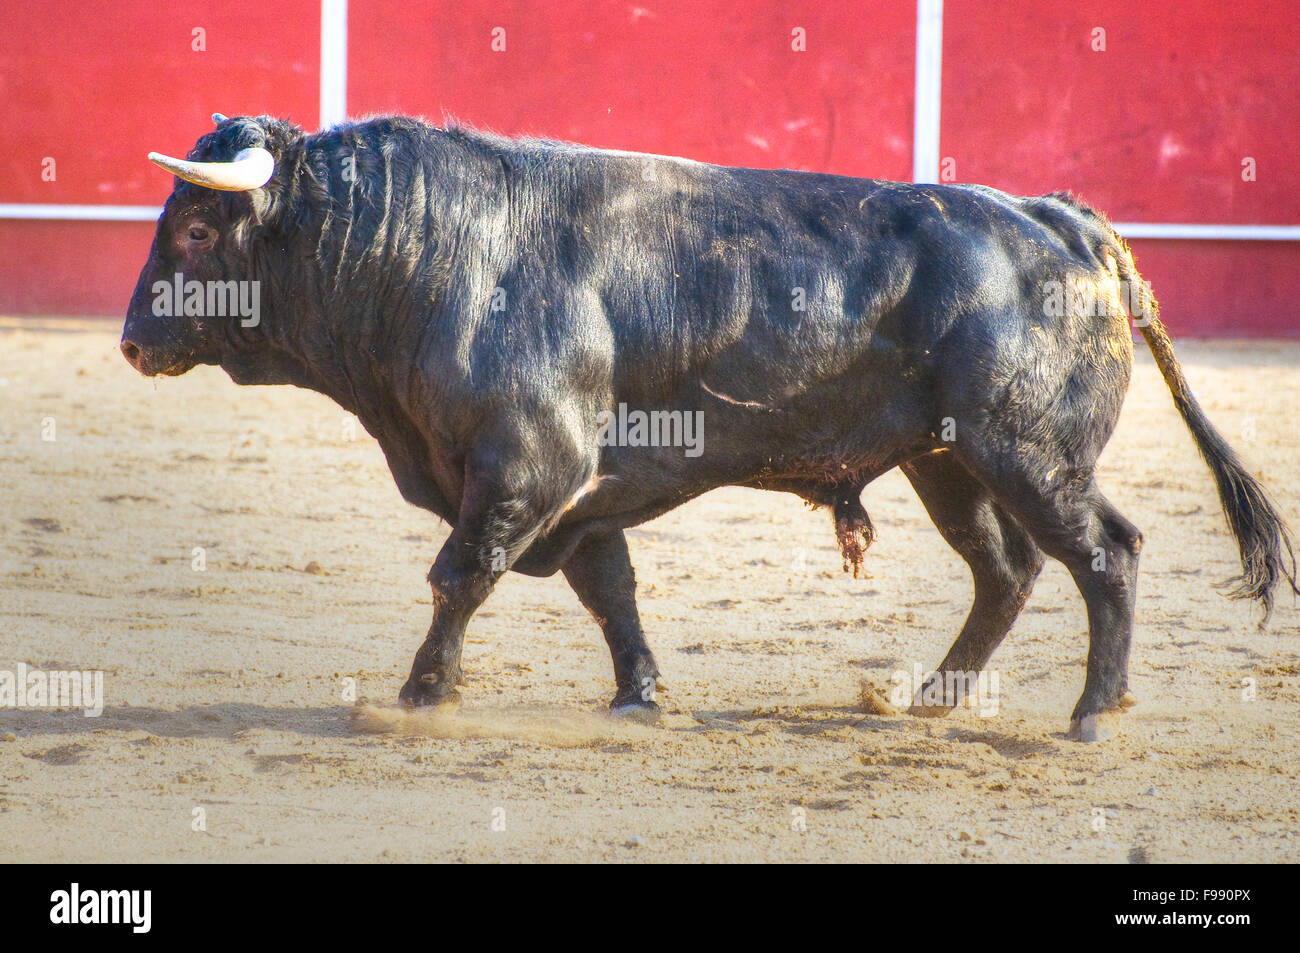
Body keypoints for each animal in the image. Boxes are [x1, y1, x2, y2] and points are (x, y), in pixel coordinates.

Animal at [121, 113, 1296, 741]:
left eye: (196, 229)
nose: (131, 341)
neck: (427, 251)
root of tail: (1060, 220)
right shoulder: (579, 490)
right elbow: (611, 589)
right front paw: (637, 696)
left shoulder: (526, 463)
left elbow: (460, 573)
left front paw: (417, 698)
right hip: (949, 461)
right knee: (1006, 572)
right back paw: (928, 698)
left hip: (1032, 455)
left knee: (1107, 554)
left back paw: (1092, 711)